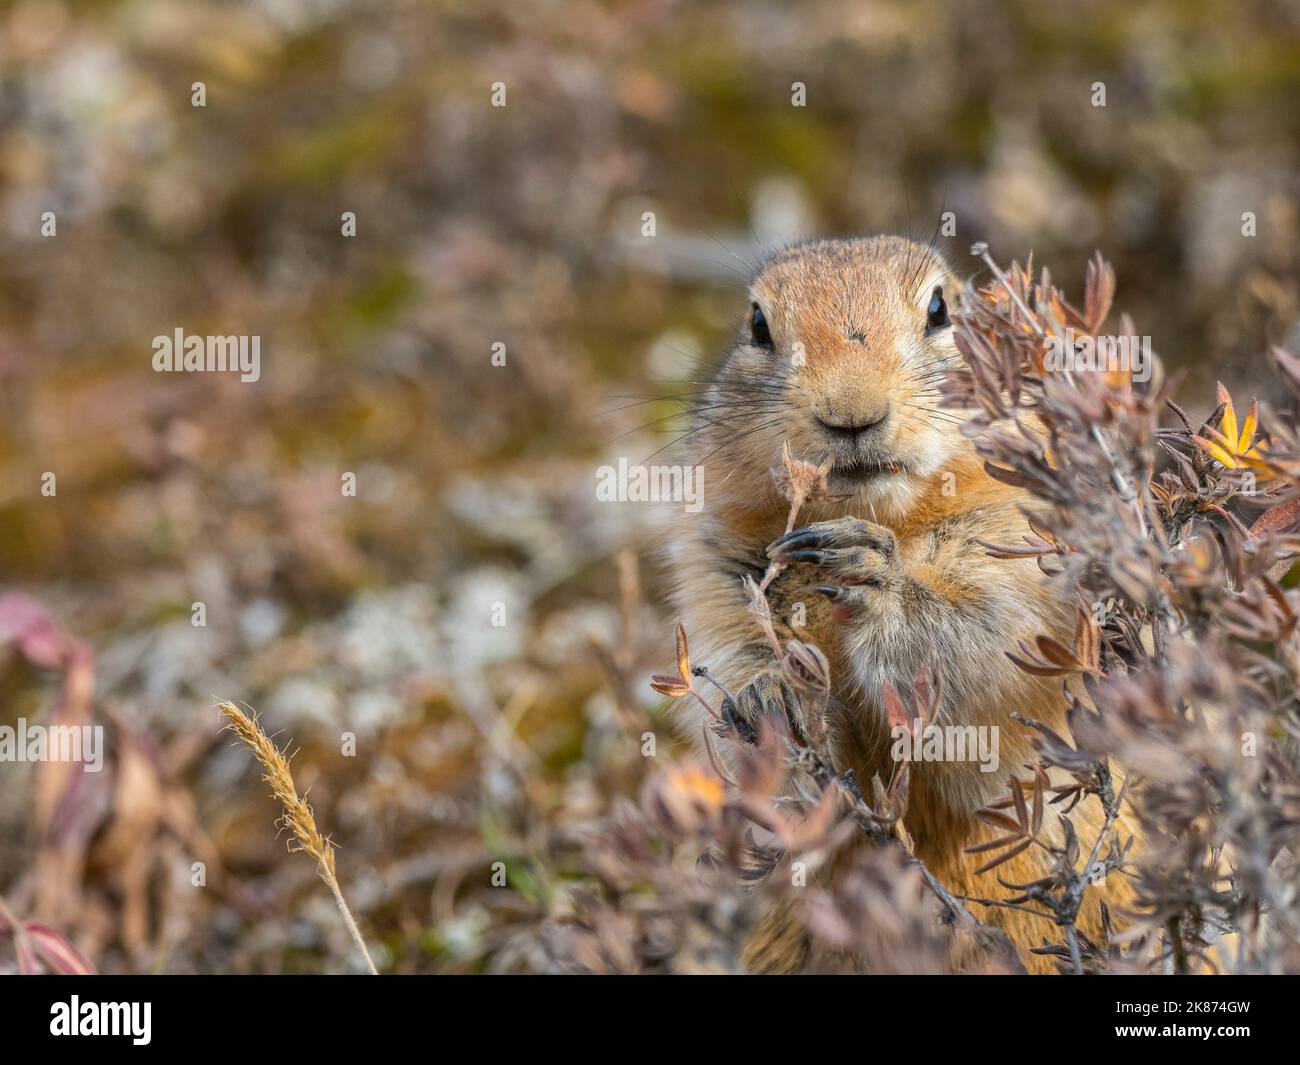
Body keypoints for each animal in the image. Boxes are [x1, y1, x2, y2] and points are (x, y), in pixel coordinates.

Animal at [667, 235, 1139, 973]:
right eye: (758, 325)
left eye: (941, 308)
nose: (851, 412)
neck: (887, 515)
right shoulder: (713, 574)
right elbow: (733, 666)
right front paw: (768, 701)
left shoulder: (1034, 565)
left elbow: (986, 654)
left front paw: (871, 576)